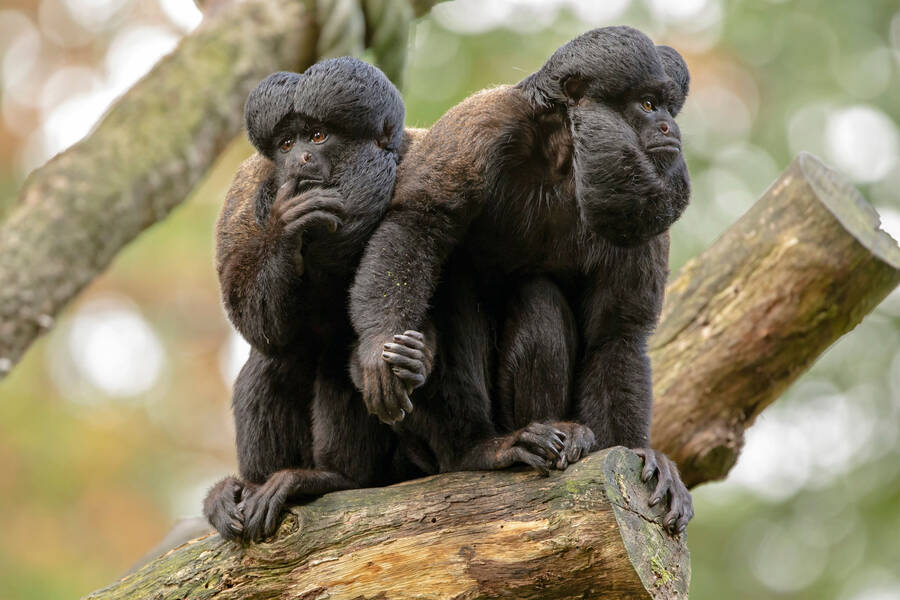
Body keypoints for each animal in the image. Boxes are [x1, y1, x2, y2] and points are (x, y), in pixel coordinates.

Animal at [349, 26, 694, 534]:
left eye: (670, 107)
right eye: (649, 105)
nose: (671, 129)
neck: (564, 154)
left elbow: (618, 332)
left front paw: (635, 450)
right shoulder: (487, 122)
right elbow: (417, 223)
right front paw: (379, 347)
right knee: (461, 284)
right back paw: (479, 449)